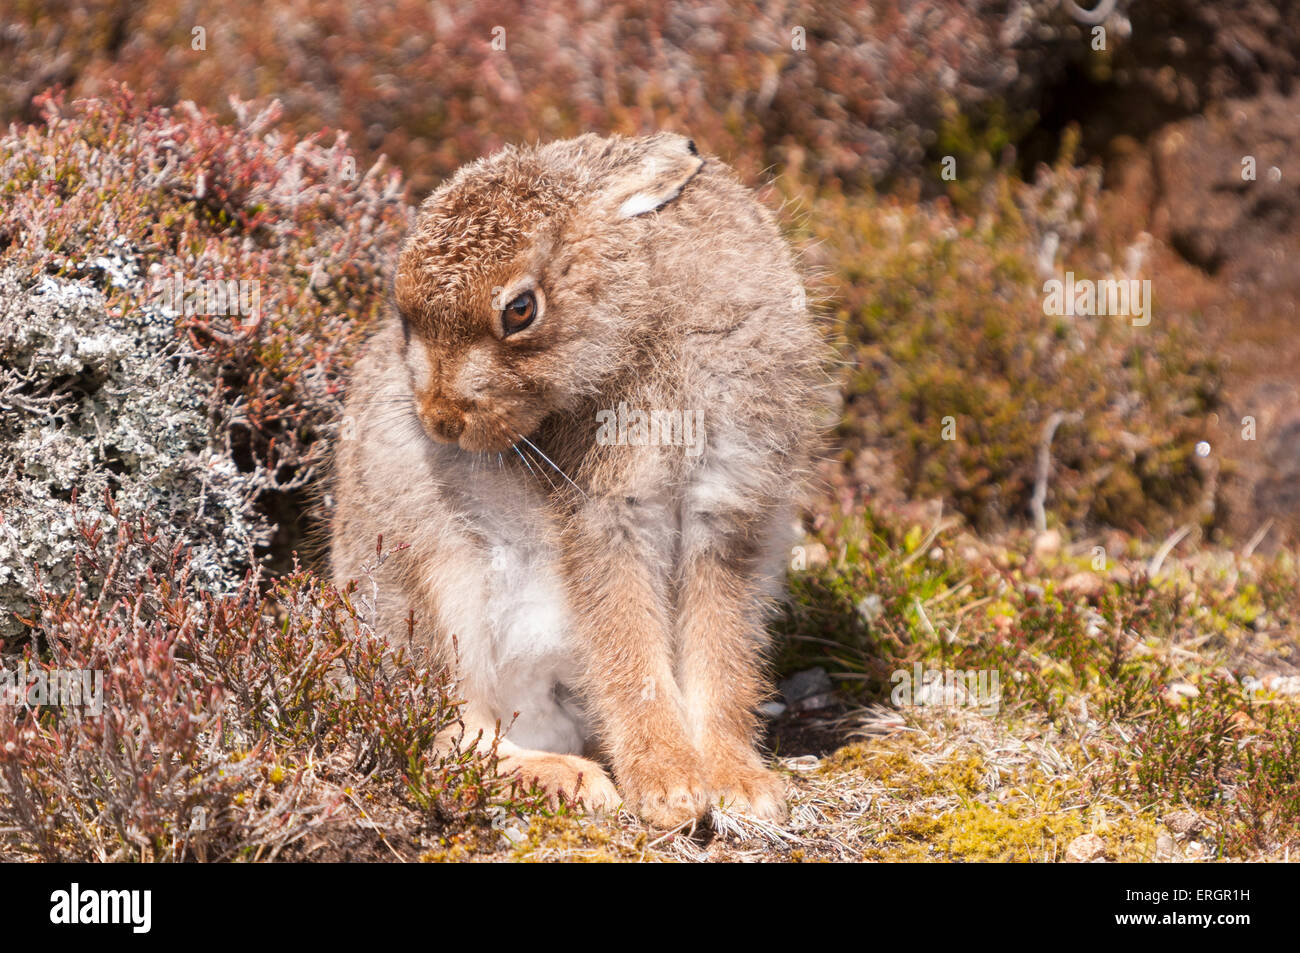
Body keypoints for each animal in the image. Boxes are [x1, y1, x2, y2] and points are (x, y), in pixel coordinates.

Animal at [331, 132, 829, 827]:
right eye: (406, 322)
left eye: (520, 309)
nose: (440, 420)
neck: (645, 311)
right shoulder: (607, 513)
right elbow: (627, 651)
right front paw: (669, 790)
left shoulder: (730, 507)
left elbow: (721, 658)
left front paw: (739, 786)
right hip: (432, 589)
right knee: (446, 736)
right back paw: (567, 780)